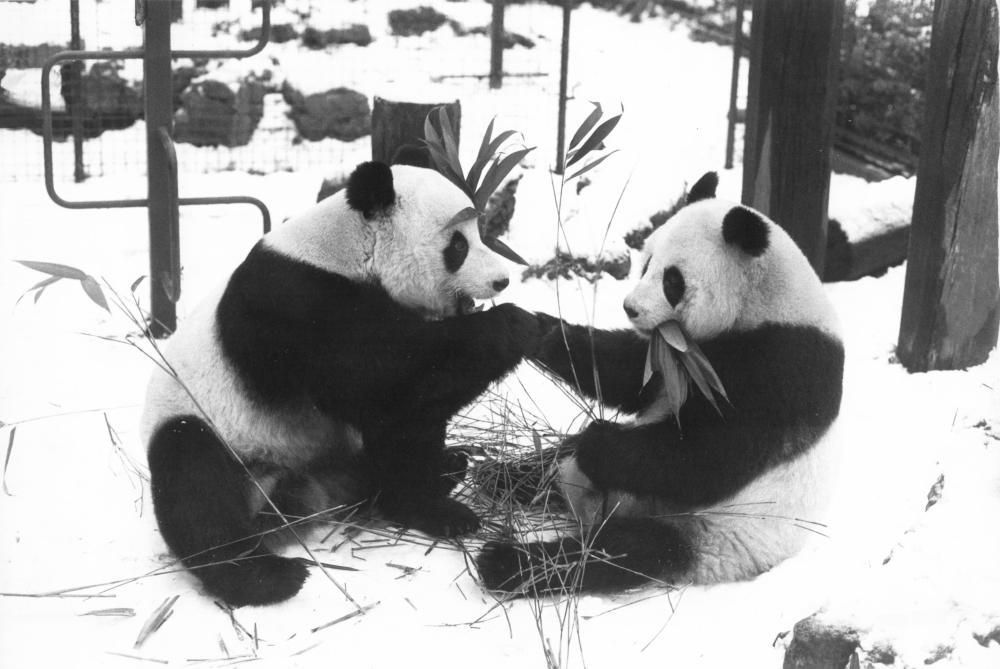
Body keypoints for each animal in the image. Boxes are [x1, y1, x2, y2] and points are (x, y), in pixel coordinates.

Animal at [141, 161, 541, 607]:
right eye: (458, 246)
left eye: (481, 234)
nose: (501, 281)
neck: (348, 250)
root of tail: (294, 496)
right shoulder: (297, 304)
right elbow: (384, 385)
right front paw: (514, 323)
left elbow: (411, 412)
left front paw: (425, 502)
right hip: (212, 427)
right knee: (196, 484)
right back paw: (269, 576)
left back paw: (448, 465)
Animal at [476, 172, 844, 594]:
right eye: (646, 262)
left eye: (673, 280)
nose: (630, 308)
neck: (767, 301)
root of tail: (583, 507)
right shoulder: (672, 351)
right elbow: (627, 374)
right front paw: (540, 331)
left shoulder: (783, 367)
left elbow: (707, 456)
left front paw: (599, 441)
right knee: (554, 460)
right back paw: (499, 477)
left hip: (710, 531)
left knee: (621, 552)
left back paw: (506, 562)